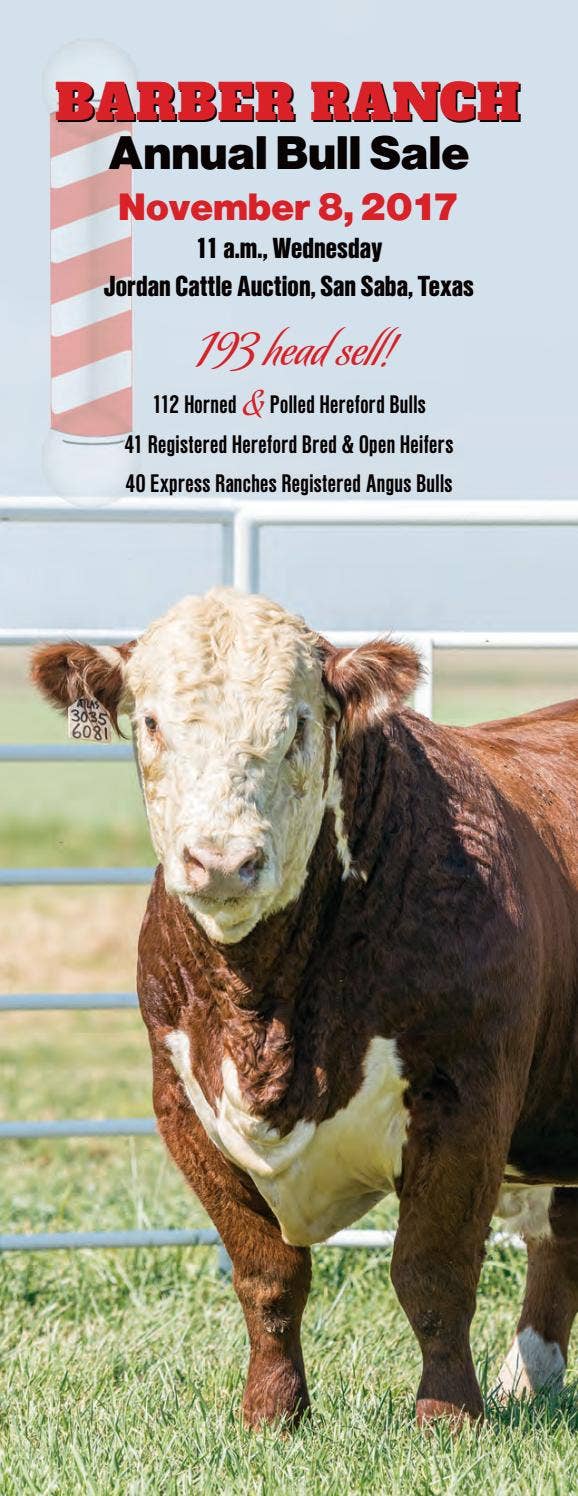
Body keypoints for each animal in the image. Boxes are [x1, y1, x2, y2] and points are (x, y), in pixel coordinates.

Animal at [31, 587, 578, 1431]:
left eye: (297, 724)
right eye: (149, 721)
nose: (223, 861)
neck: (263, 1004)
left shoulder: (464, 1095)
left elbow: (433, 1270)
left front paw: (448, 1416)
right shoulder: (182, 1103)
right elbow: (269, 1274)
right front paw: (272, 1413)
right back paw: (532, 1378)